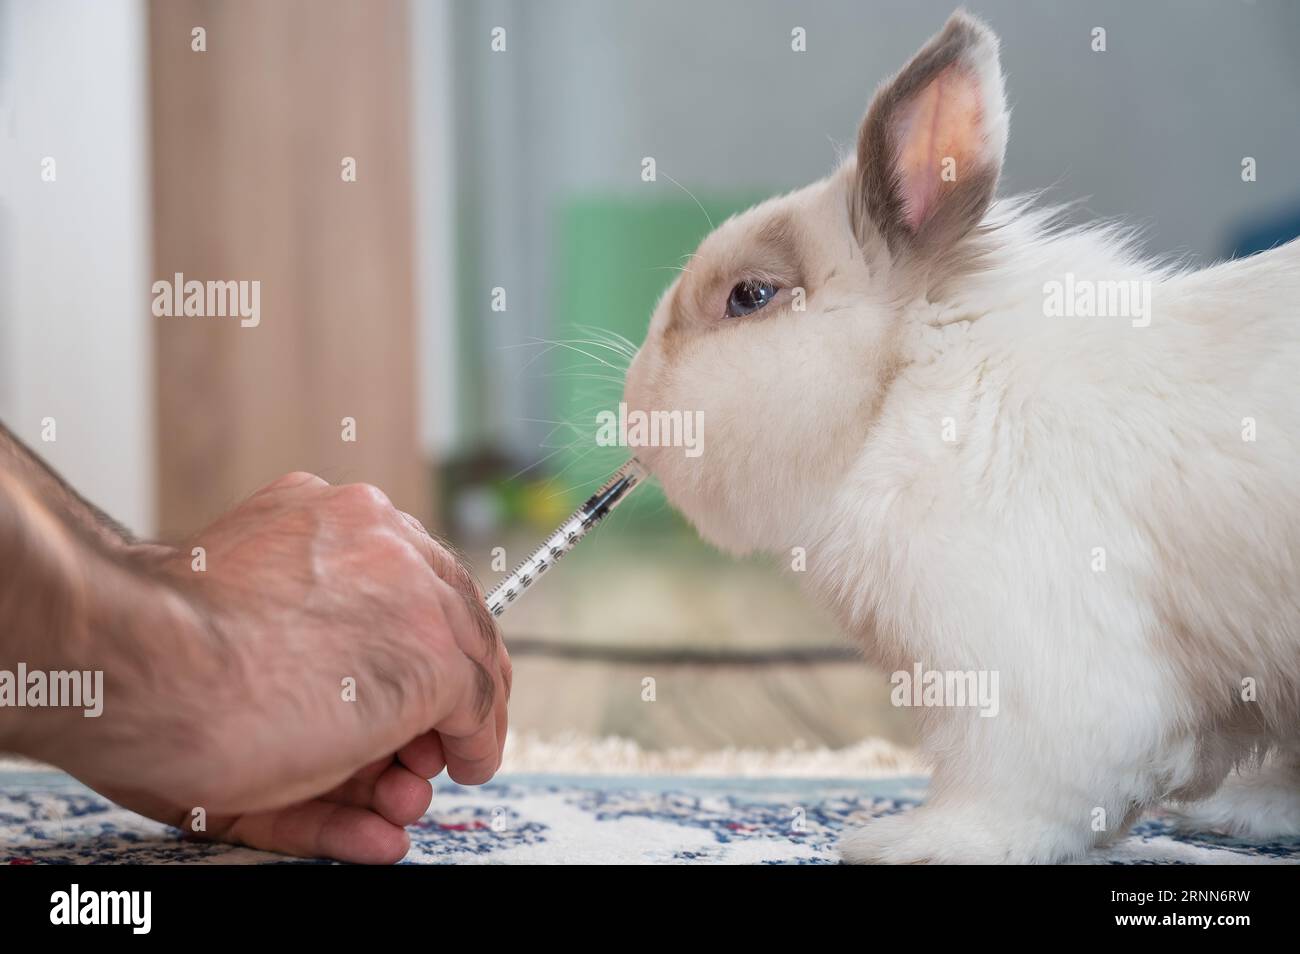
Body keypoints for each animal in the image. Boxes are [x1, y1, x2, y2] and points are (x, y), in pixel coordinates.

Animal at [622, 9, 1300, 863]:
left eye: (750, 296)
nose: (631, 403)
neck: (909, 390)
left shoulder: (1029, 672)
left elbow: (1022, 788)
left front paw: (907, 841)